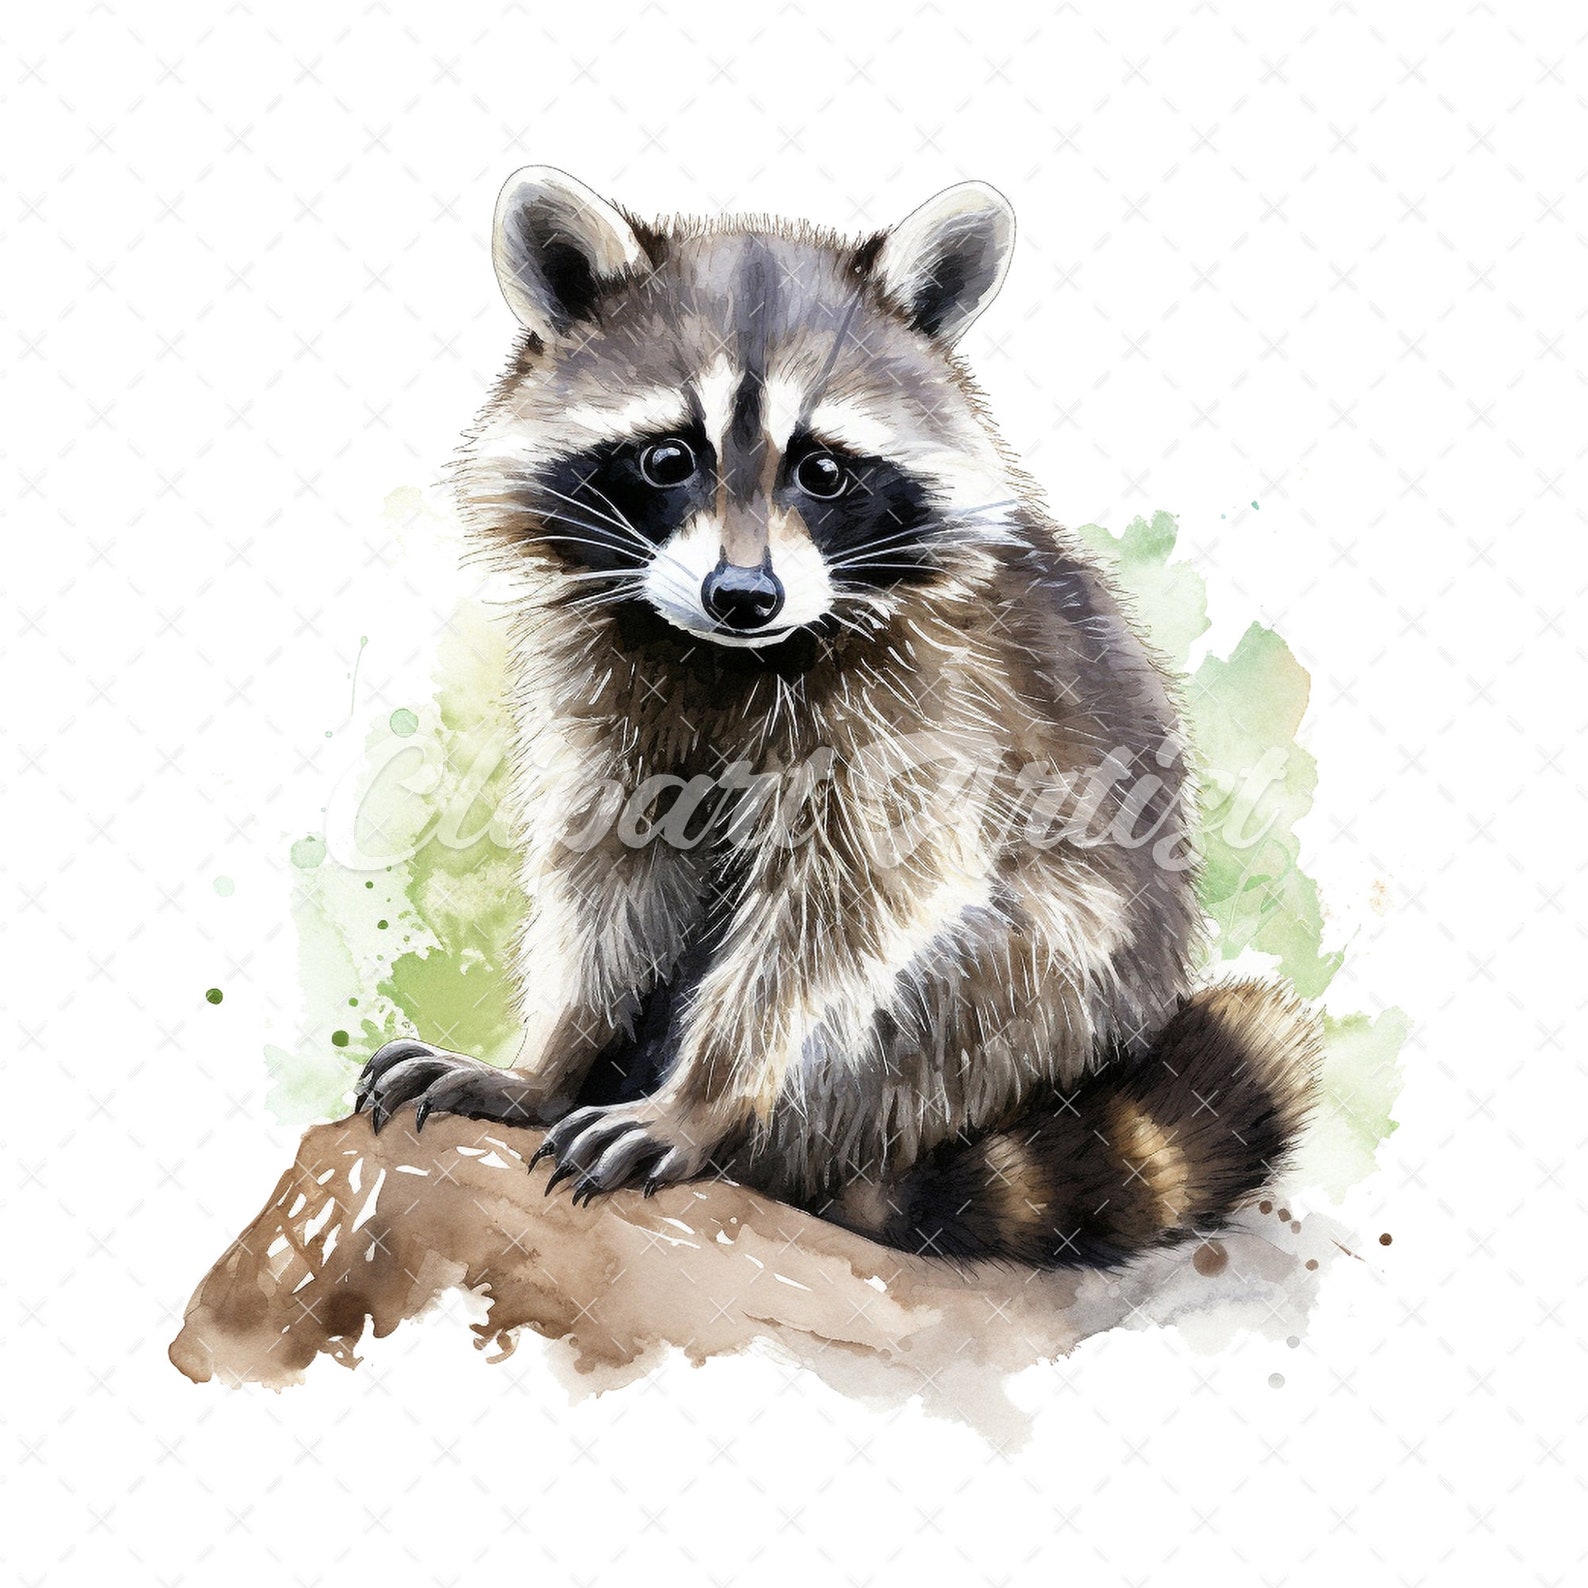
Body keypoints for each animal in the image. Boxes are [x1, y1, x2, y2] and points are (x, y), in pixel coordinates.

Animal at [353, 167, 1319, 1269]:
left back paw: (769, 1141)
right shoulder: (603, 684)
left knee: (965, 962)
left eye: (821, 469)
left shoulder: (926, 709)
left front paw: (703, 1095)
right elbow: (608, 874)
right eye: (666, 458)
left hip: (1007, 1014)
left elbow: (840, 916)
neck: (727, 657)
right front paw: (551, 1060)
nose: (743, 594)